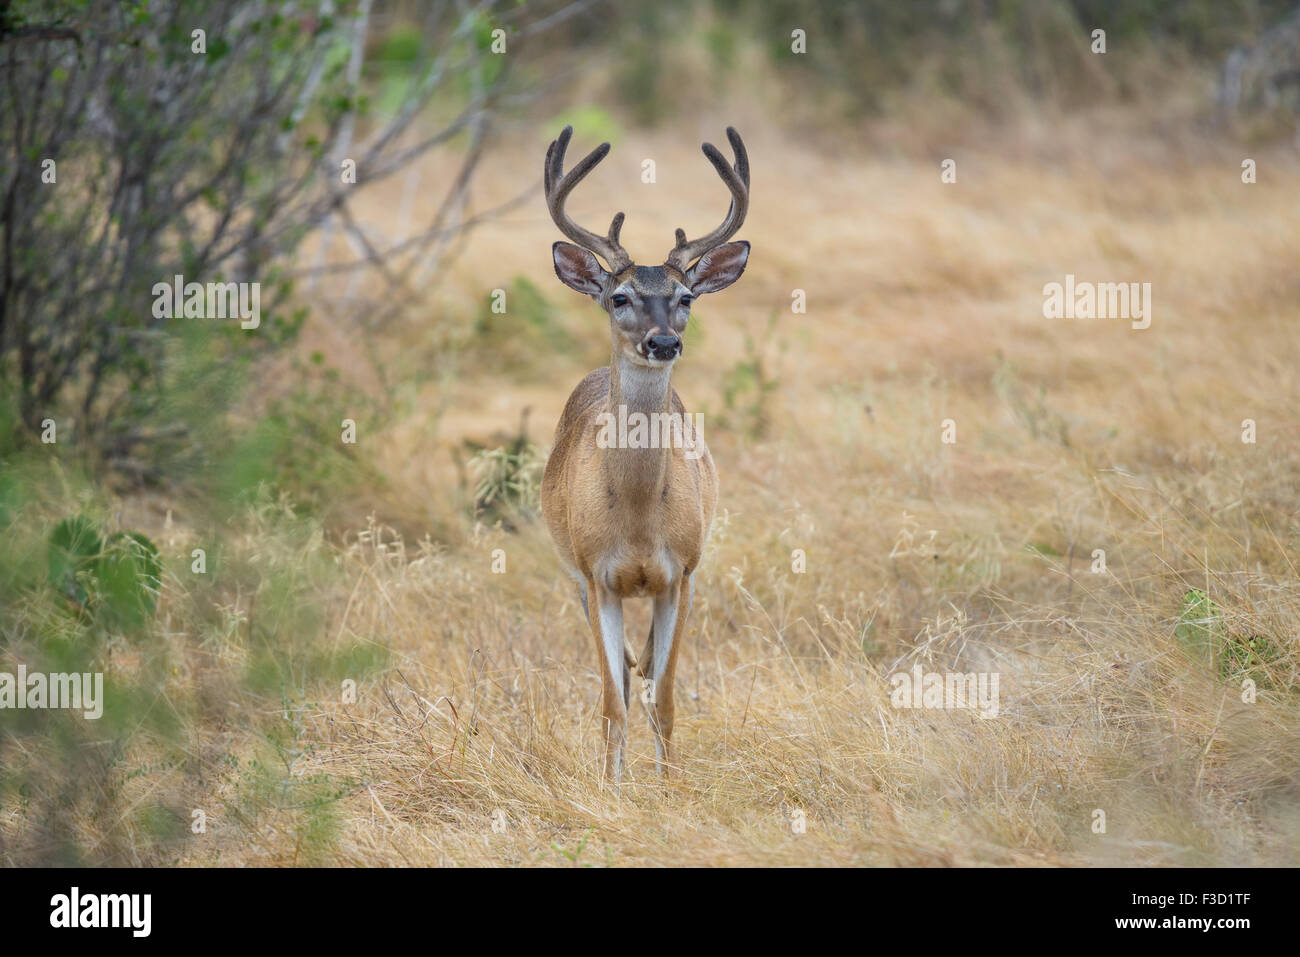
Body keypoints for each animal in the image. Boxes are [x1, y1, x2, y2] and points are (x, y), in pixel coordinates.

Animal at [540, 125, 751, 783]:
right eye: (620, 297)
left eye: (685, 296)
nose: (663, 342)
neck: (634, 522)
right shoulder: (597, 576)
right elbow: (614, 701)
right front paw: (611, 786)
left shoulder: (679, 573)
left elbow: (667, 696)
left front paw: (669, 784)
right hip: (572, 573)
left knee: (653, 673)